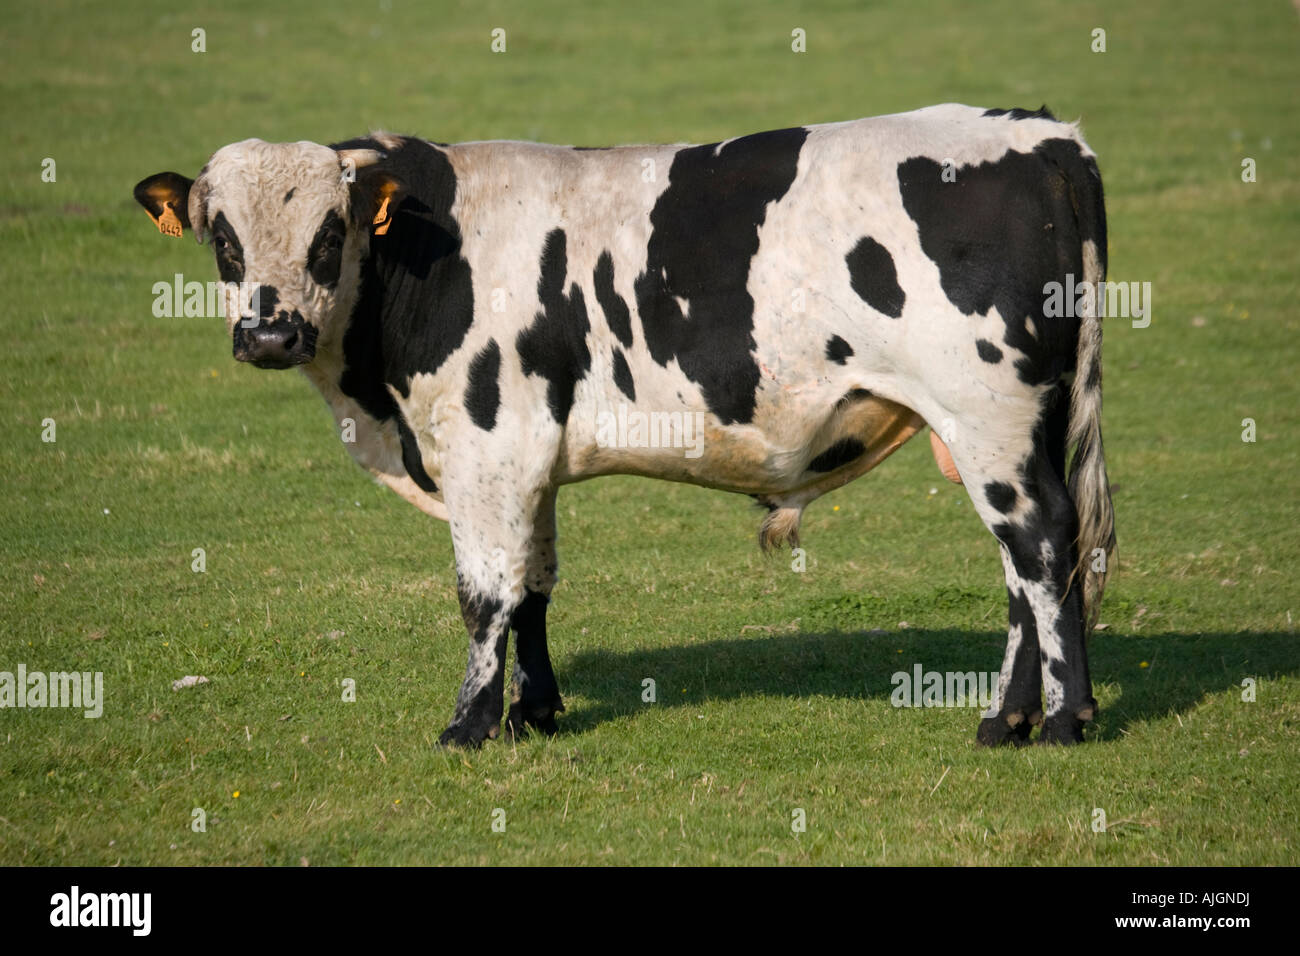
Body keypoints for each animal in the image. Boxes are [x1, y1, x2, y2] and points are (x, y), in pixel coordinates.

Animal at [134, 103, 1115, 748]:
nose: (269, 334)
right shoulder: (529, 457)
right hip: (1003, 429)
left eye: (330, 234)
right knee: (1024, 566)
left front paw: (468, 725)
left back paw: (1063, 720)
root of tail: (1039, 133)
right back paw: (1006, 718)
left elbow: (483, 594)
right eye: (222, 238)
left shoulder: (487, 445)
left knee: (1041, 543)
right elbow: (532, 587)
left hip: (990, 417)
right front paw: (534, 712)